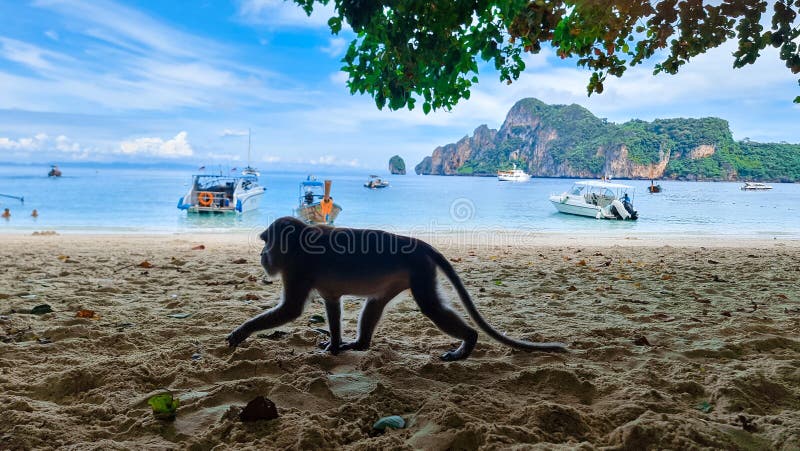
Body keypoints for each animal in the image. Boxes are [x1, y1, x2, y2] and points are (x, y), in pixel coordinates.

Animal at [226, 216, 567, 361]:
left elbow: (291, 310)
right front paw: (334, 345)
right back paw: (359, 344)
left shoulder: (298, 269)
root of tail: (421, 244)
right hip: (400, 278)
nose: (262, 255)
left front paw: (241, 332)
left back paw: (468, 341)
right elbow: (332, 304)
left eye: (267, 241)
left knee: (431, 307)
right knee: (375, 303)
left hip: (419, 272)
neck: (299, 243)